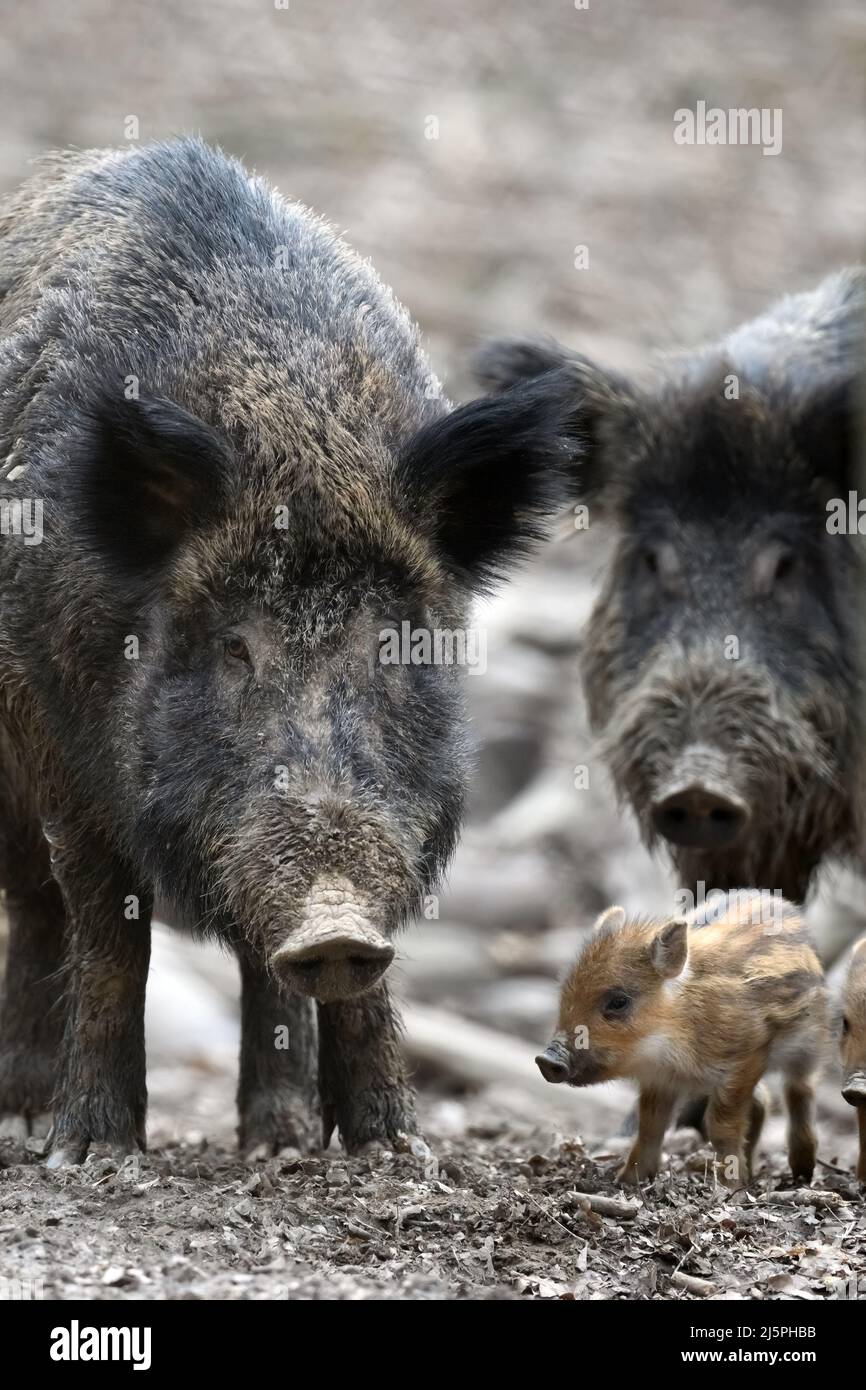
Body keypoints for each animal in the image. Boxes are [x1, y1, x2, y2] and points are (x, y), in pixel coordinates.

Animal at [0, 139, 573, 1165]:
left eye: (393, 642)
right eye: (234, 646)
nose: (332, 919)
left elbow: (354, 980)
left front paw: (392, 1150)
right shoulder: (60, 746)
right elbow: (107, 929)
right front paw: (92, 1153)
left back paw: (281, 1140)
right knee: (36, 905)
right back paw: (25, 1124)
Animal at [536, 890, 828, 1187]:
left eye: (619, 1002)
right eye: (566, 990)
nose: (546, 1059)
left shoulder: (747, 1057)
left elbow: (720, 1127)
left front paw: (729, 1188)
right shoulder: (660, 1077)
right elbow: (650, 1125)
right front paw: (628, 1180)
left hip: (809, 1044)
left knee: (799, 1090)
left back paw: (802, 1172)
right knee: (763, 1099)